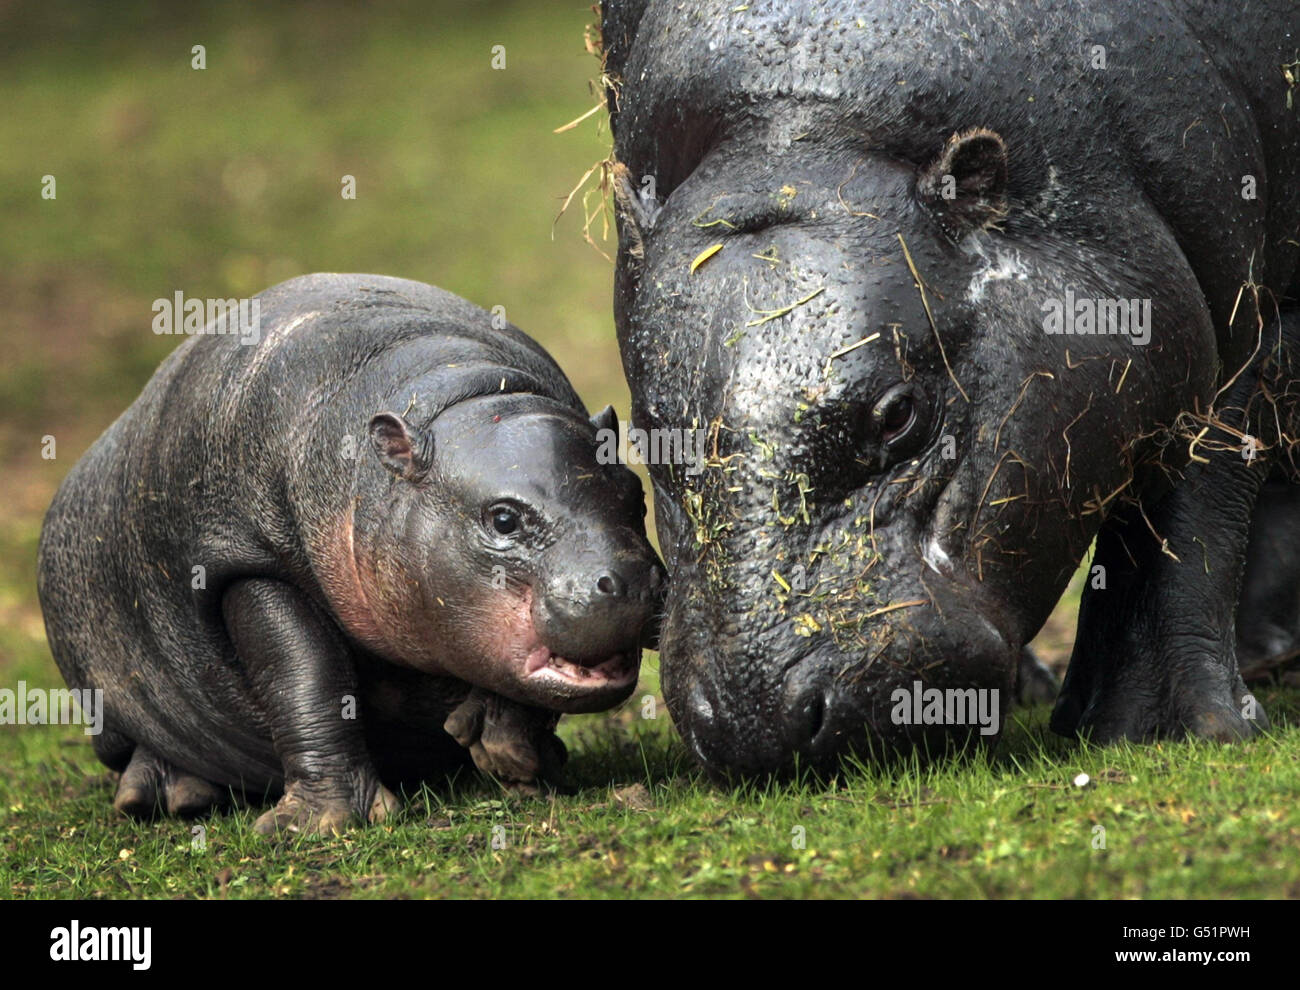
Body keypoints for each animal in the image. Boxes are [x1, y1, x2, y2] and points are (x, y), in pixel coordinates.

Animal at [37, 273, 665, 833]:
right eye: (503, 519)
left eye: (636, 495)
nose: (632, 580)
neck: (457, 394)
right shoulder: (247, 564)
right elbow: (306, 674)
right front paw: (319, 824)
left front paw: (511, 756)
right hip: (110, 701)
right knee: (143, 746)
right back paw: (168, 798)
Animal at [598, 0, 1300, 776]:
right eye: (651, 434)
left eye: (898, 415)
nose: (753, 717)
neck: (802, 129)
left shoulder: (1238, 321)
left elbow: (1188, 517)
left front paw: (1178, 730)